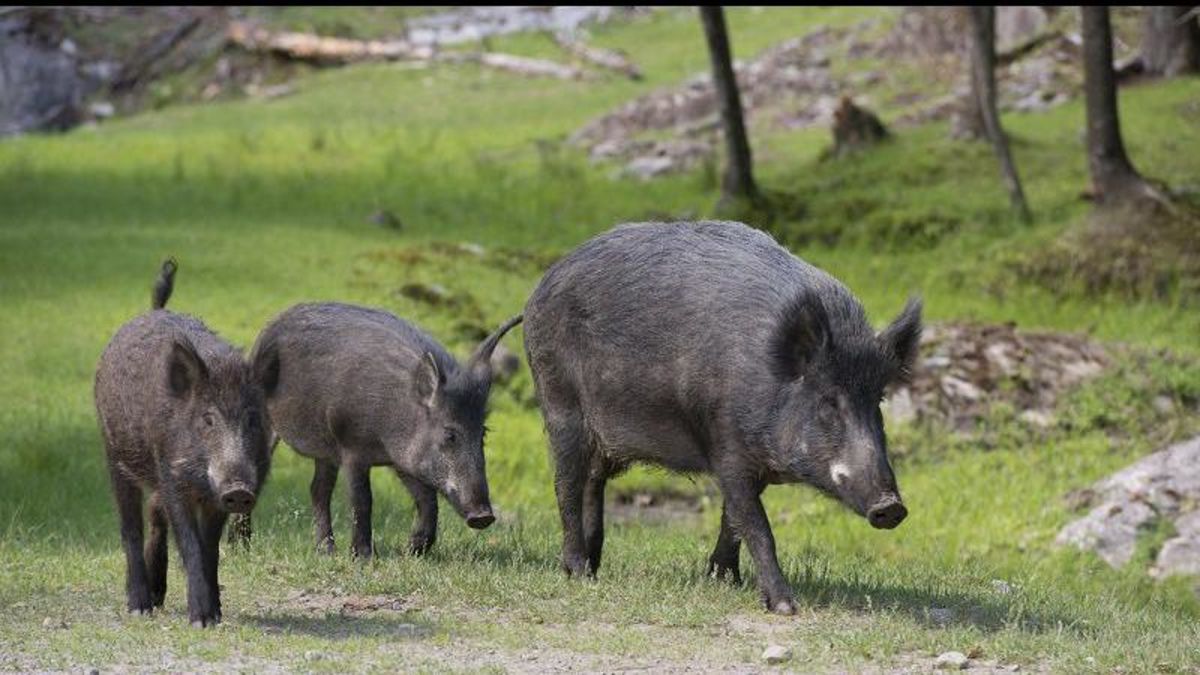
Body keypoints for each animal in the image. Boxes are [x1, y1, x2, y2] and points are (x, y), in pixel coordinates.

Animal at [94, 259, 273, 627]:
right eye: (207, 419)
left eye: (253, 418)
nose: (239, 489)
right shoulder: (171, 475)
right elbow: (189, 542)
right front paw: (201, 620)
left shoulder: (216, 498)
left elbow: (209, 547)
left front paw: (216, 614)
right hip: (115, 453)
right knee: (130, 525)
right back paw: (140, 607)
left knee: (153, 511)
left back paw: (158, 597)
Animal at [249, 303, 522, 558]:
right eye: (450, 434)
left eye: (483, 433)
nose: (484, 515)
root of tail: (270, 326)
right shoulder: (351, 448)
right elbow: (363, 500)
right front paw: (364, 557)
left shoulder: (402, 462)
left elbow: (427, 502)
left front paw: (412, 551)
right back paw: (245, 543)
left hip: (325, 453)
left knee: (318, 490)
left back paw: (326, 551)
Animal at [522, 221, 921, 614]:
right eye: (828, 401)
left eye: (879, 400)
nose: (891, 506)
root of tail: (541, 287)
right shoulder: (727, 449)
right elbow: (757, 525)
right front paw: (785, 606)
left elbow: (733, 520)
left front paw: (724, 579)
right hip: (559, 403)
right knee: (566, 484)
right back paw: (576, 572)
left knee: (593, 482)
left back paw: (593, 572)